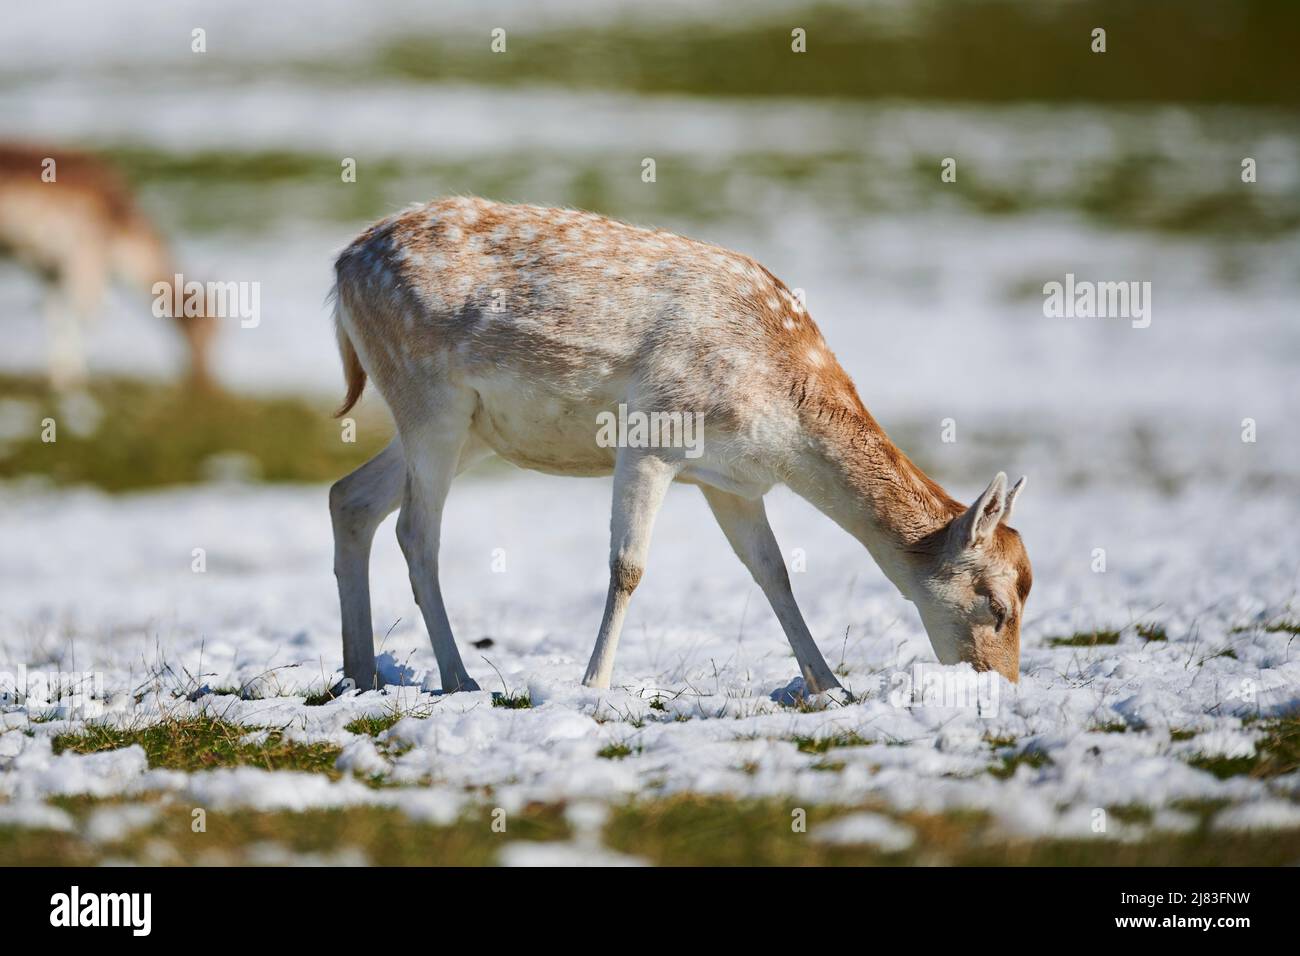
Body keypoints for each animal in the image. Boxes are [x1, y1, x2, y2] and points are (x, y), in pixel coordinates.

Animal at [0, 143, 216, 390]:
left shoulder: (50, 266)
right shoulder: (83, 257)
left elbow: (55, 313)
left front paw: (61, 373)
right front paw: (73, 378)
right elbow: (86, 317)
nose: (202, 368)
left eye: (219, 329)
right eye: (206, 328)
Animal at [327, 197, 1032, 701]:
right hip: (429, 400)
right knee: (417, 531)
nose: (1002, 684)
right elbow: (628, 566)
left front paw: (830, 686)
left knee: (350, 496)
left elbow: (774, 573)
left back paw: (362, 673)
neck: (783, 419)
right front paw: (594, 688)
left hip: (470, 428)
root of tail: (341, 268)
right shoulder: (654, 434)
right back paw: (458, 678)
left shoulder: (732, 483)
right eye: (996, 604)